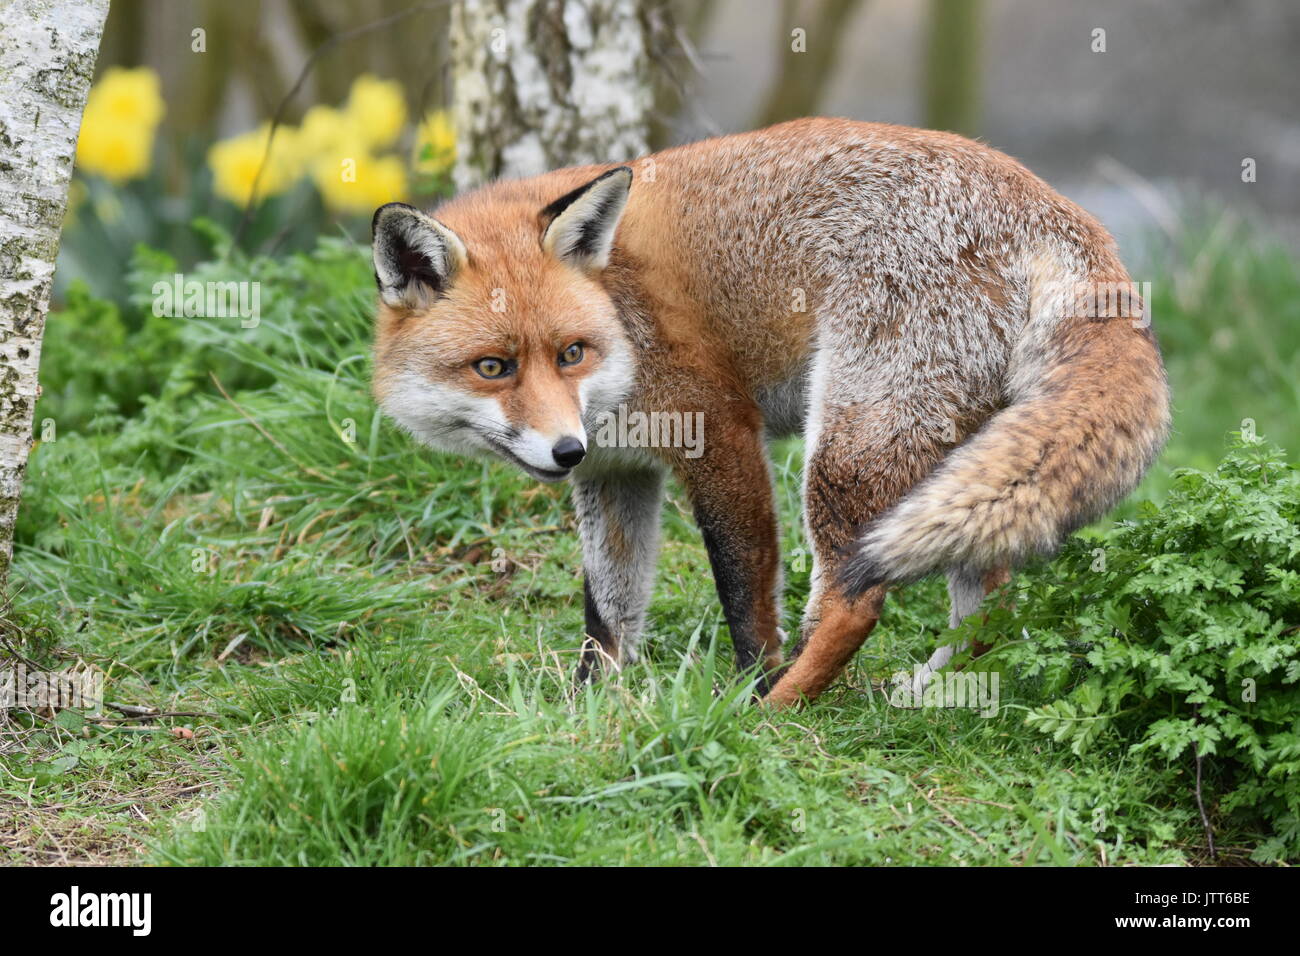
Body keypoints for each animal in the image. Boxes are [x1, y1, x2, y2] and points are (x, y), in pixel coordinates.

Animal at [369, 117, 1170, 708]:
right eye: (494, 367)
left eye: (570, 353)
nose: (564, 450)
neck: (623, 320)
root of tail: (1058, 212)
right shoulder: (615, 472)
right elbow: (608, 614)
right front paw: (588, 711)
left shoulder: (719, 431)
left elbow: (744, 594)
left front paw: (744, 689)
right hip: (962, 460)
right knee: (990, 604)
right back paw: (935, 696)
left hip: (848, 445)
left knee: (855, 599)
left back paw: (777, 710)